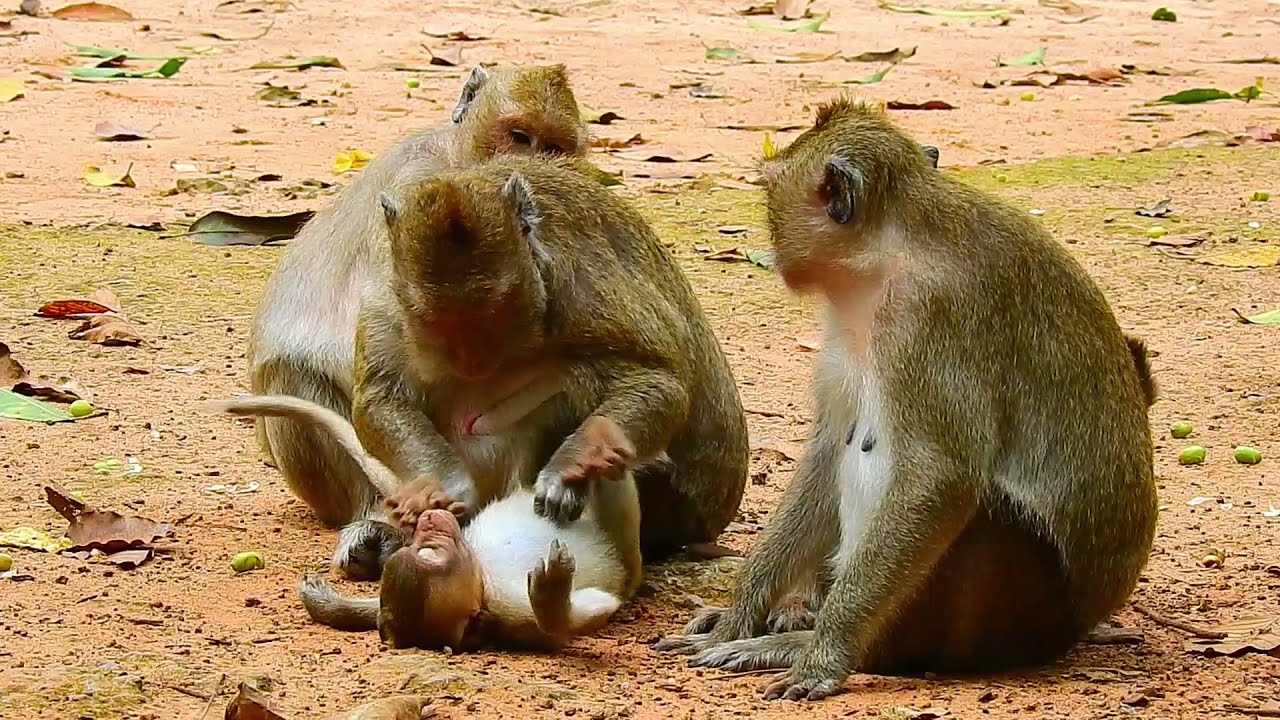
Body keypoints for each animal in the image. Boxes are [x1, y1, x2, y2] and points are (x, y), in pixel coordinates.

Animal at [204, 393, 642, 651]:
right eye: (428, 552)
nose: (432, 518)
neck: (480, 575)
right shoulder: (506, 608)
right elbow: (582, 615)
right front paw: (553, 599)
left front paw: (328, 602)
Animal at [245, 64, 590, 546]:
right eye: (520, 136)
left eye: (554, 148)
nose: (532, 172)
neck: (456, 160)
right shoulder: (414, 198)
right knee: (291, 374)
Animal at [655, 98, 1157, 701]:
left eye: (770, 189)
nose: (776, 249)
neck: (892, 249)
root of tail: (1082, 625)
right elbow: (828, 451)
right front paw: (737, 615)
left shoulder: (927, 317)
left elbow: (940, 478)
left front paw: (822, 655)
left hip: (1008, 618)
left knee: (985, 505)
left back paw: (817, 643)